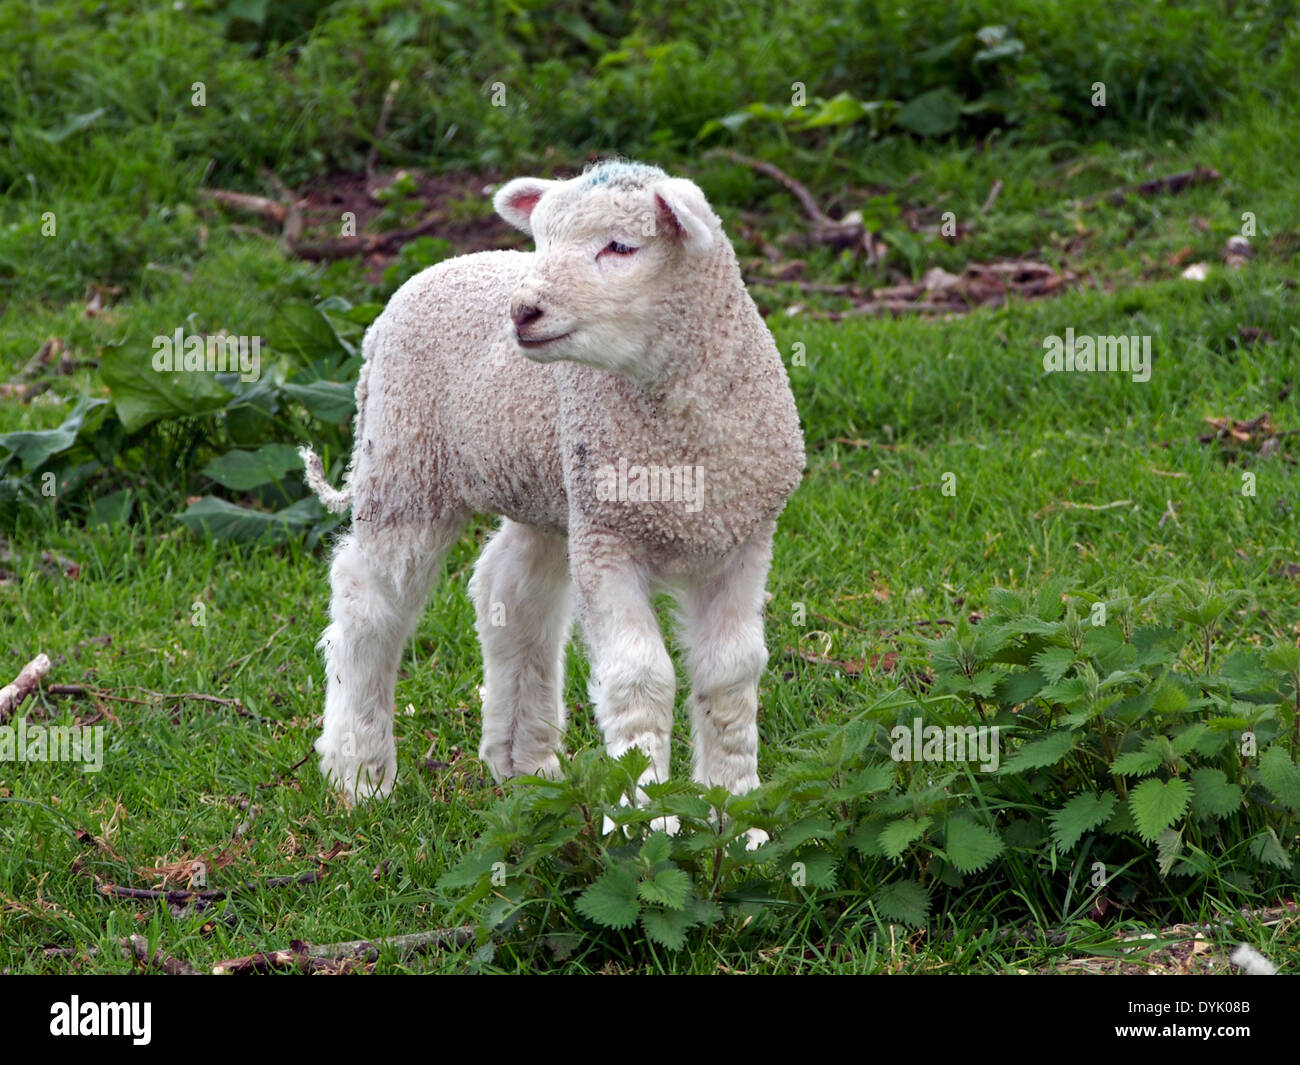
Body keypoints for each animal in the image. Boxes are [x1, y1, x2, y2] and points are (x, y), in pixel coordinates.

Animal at [300, 159, 805, 841]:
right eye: (539, 239)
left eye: (621, 246)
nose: (522, 311)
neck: (682, 437)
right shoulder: (608, 537)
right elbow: (640, 677)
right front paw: (646, 821)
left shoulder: (743, 540)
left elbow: (731, 674)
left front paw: (737, 820)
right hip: (407, 465)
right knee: (368, 602)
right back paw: (360, 771)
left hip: (545, 489)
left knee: (511, 595)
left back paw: (524, 765)